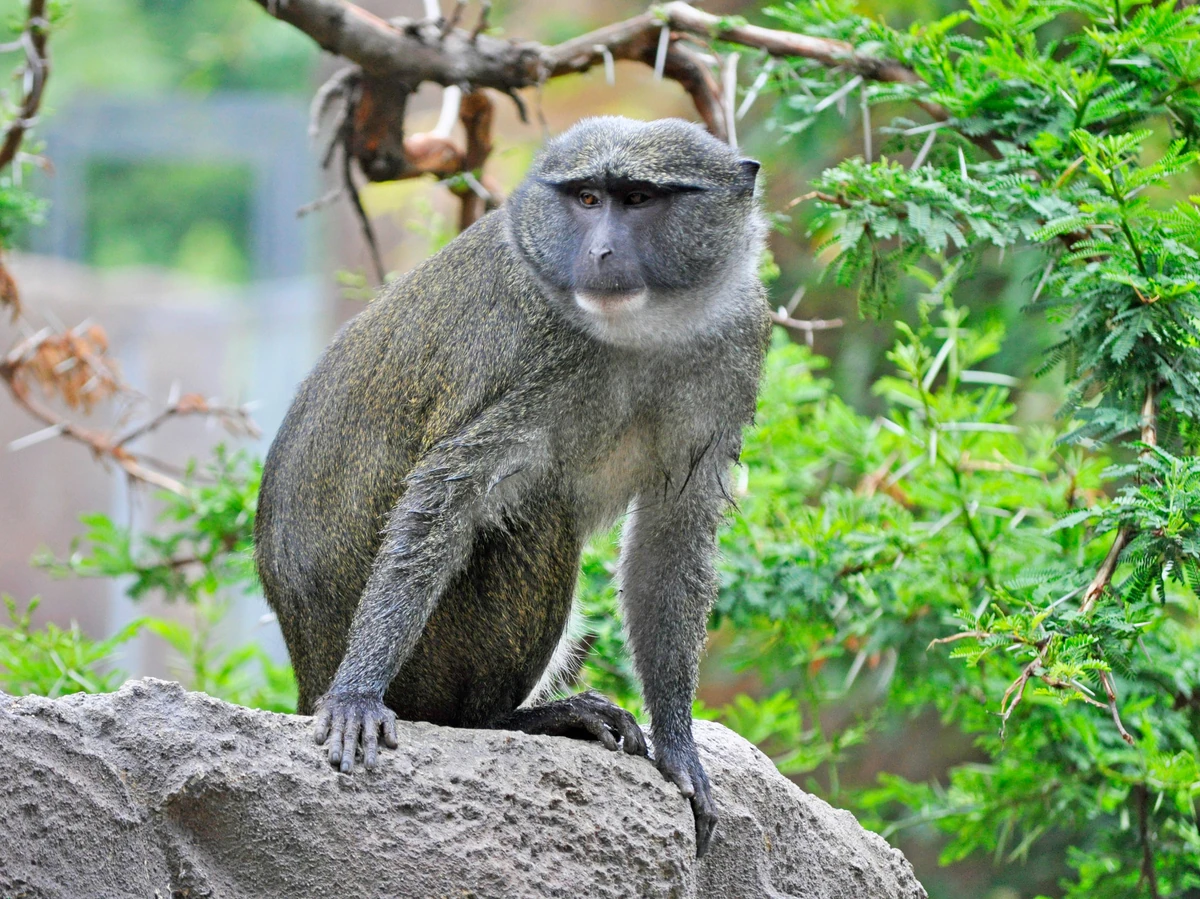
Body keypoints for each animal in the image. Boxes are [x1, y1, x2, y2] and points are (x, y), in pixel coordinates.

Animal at [254, 116, 768, 857]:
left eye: (640, 198)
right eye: (587, 198)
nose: (602, 251)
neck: (640, 332)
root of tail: (304, 670)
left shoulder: (735, 344)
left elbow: (672, 535)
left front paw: (678, 746)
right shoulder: (531, 354)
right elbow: (447, 490)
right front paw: (356, 695)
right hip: (434, 667)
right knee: (539, 508)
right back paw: (503, 718)